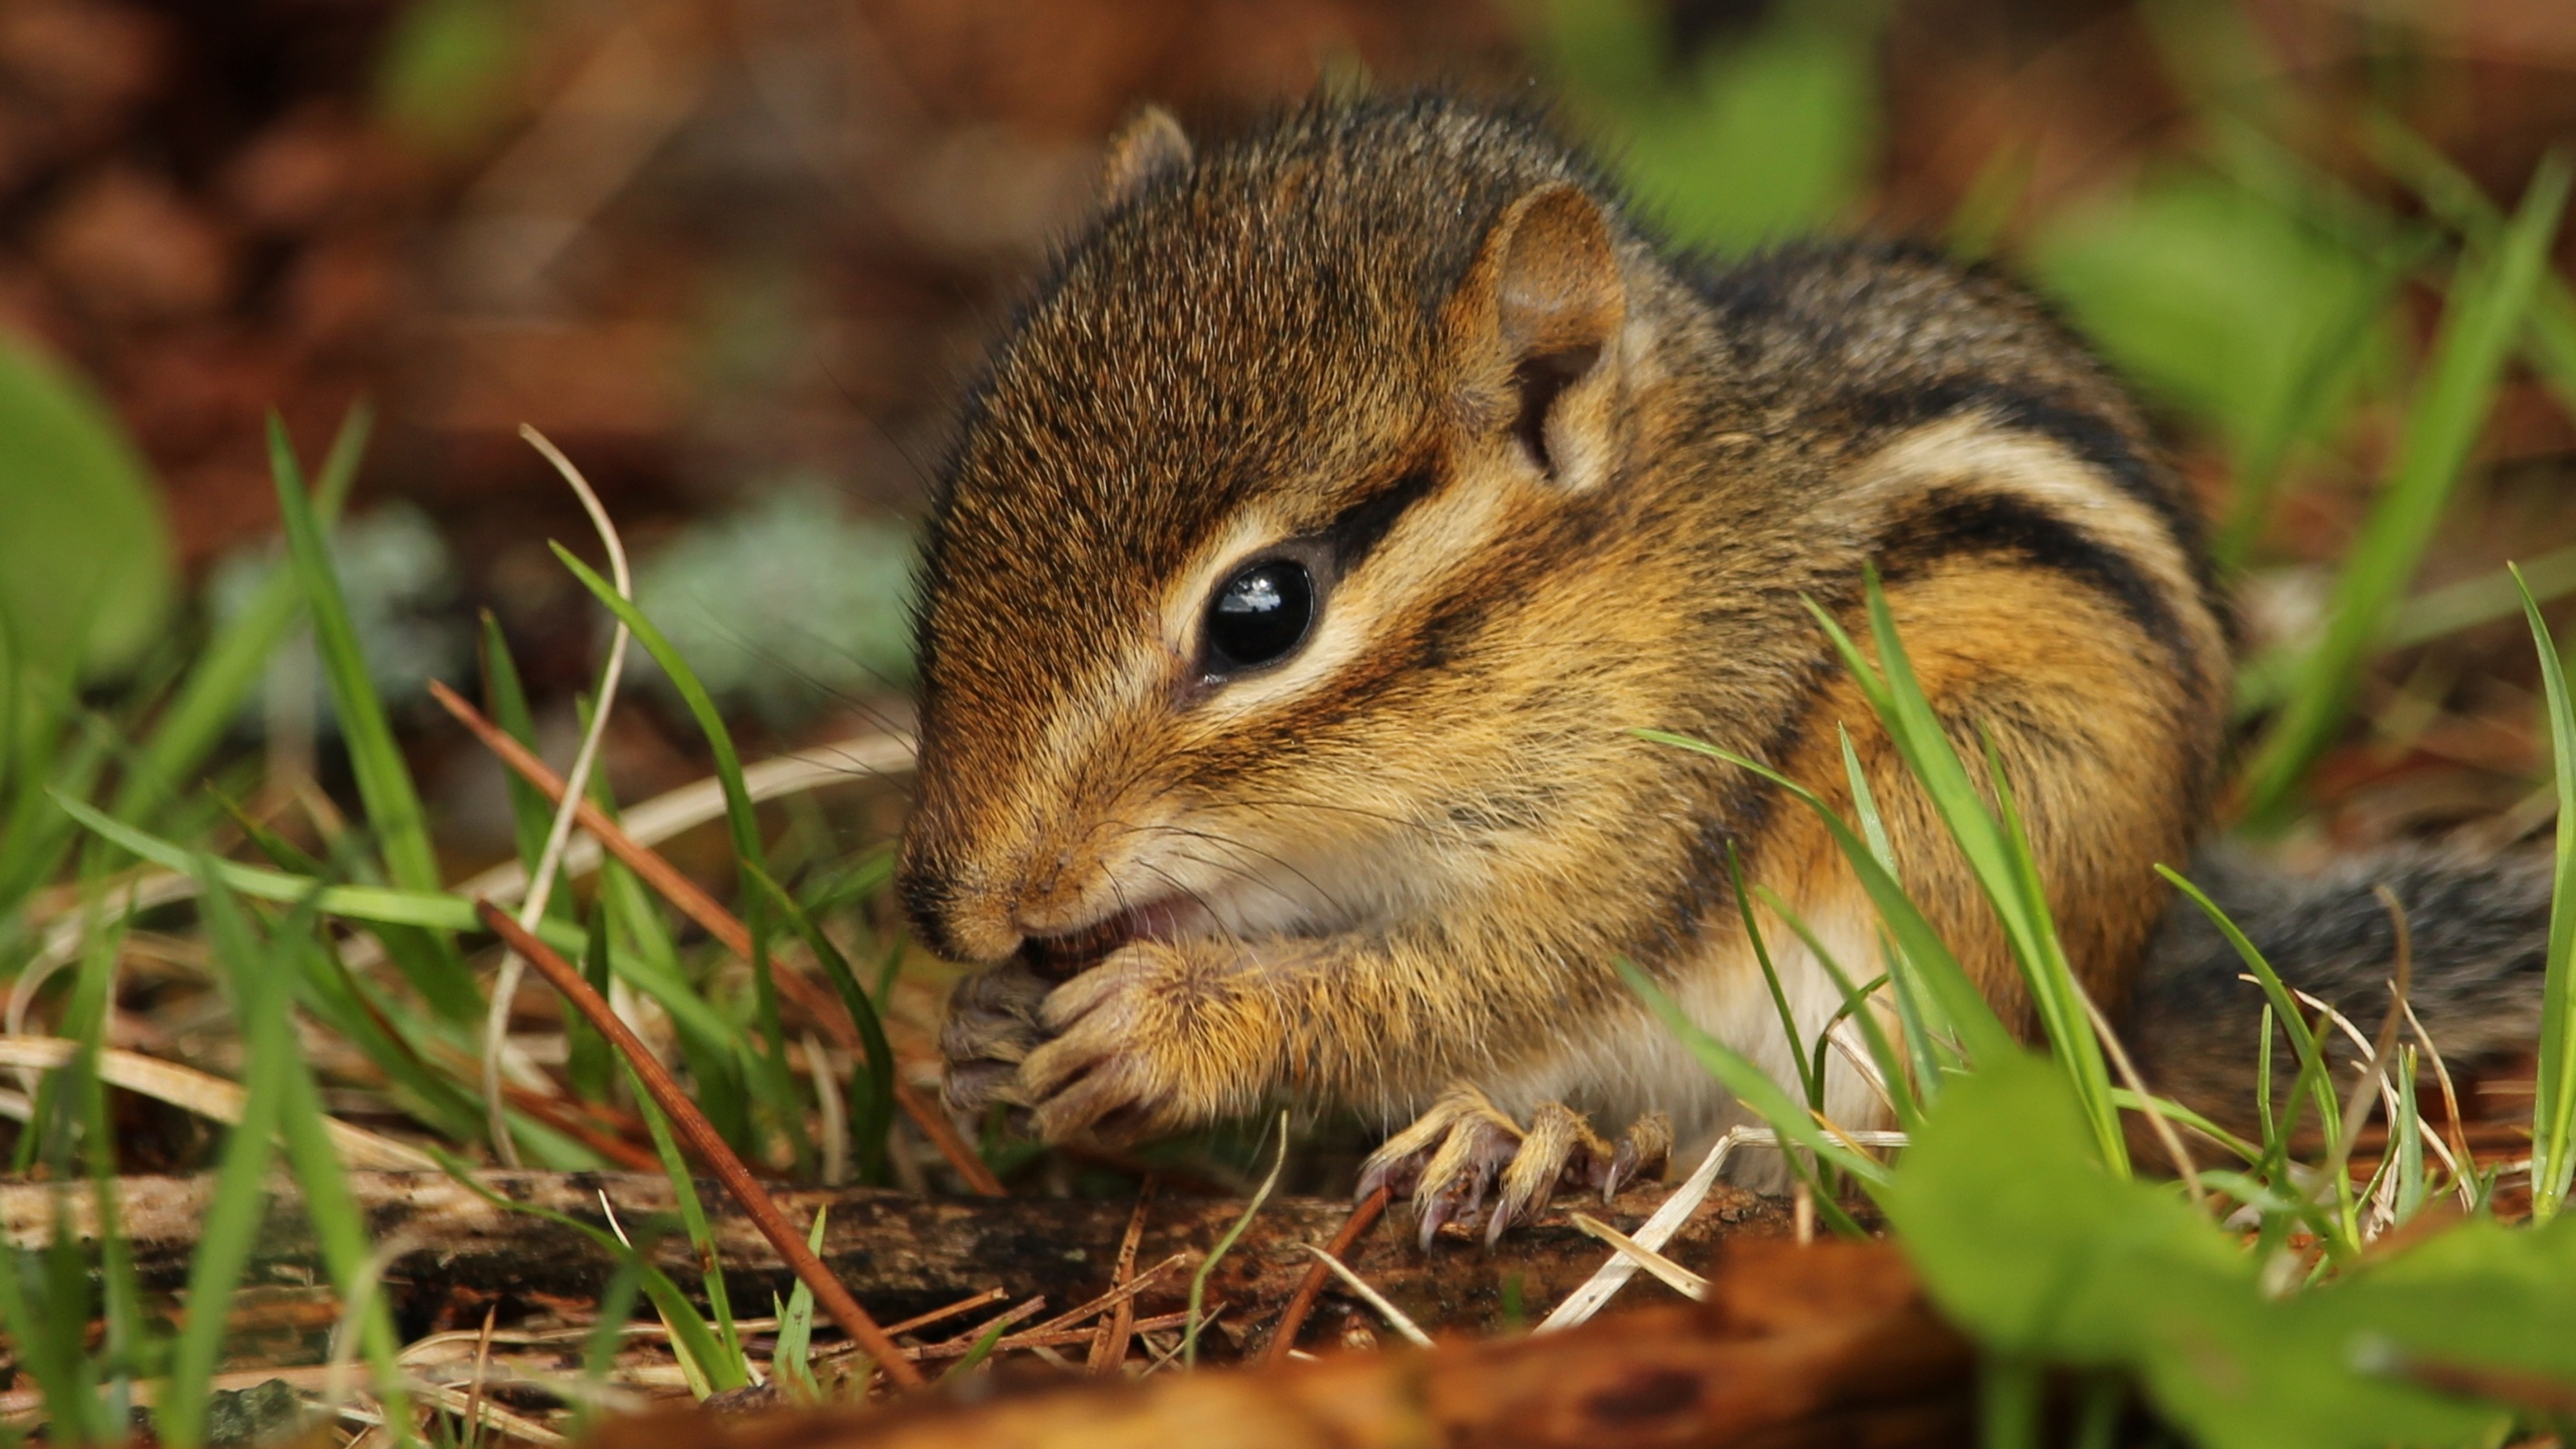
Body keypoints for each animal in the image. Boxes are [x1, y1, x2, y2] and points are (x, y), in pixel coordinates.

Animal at [894, 94, 2554, 1236]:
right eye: (955, 506)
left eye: (1261, 613)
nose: (948, 907)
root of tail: (2121, 1009)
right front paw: (979, 1033)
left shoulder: (1664, 801)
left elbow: (1473, 978)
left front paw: (1179, 1025)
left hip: (1948, 880)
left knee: (1853, 1148)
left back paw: (1564, 1143)